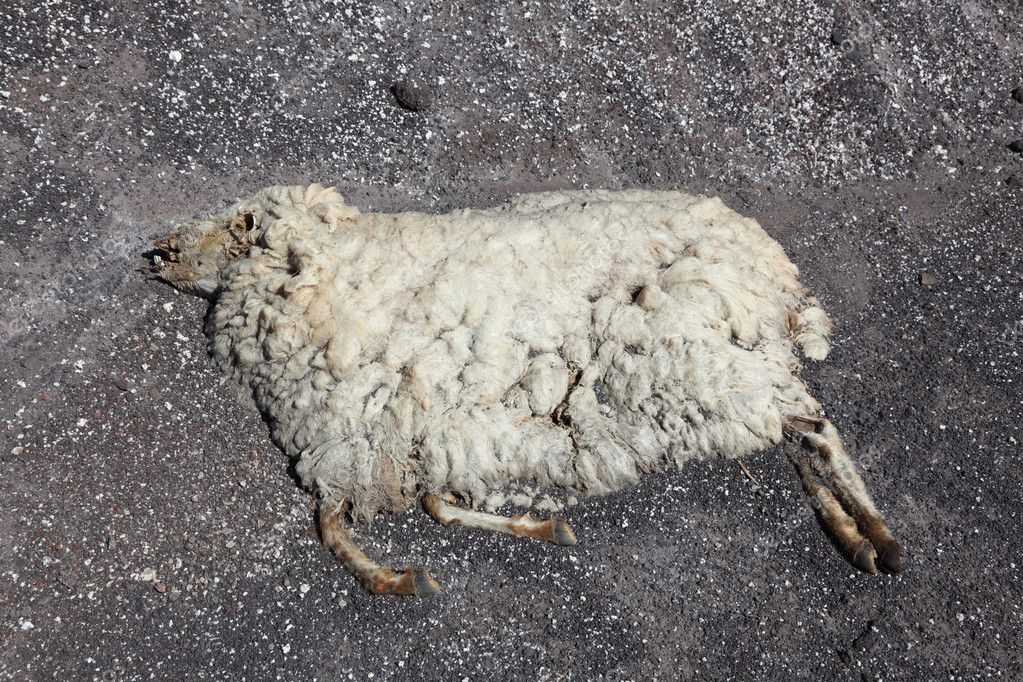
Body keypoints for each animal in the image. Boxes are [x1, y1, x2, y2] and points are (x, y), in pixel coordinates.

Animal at [151, 184, 904, 596]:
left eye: (235, 226)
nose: (156, 252)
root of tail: (772, 273)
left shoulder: (362, 434)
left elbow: (335, 529)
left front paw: (393, 579)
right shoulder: (427, 434)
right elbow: (437, 508)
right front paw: (537, 527)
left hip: (706, 367)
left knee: (814, 428)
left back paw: (879, 538)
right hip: (731, 381)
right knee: (797, 437)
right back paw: (850, 536)